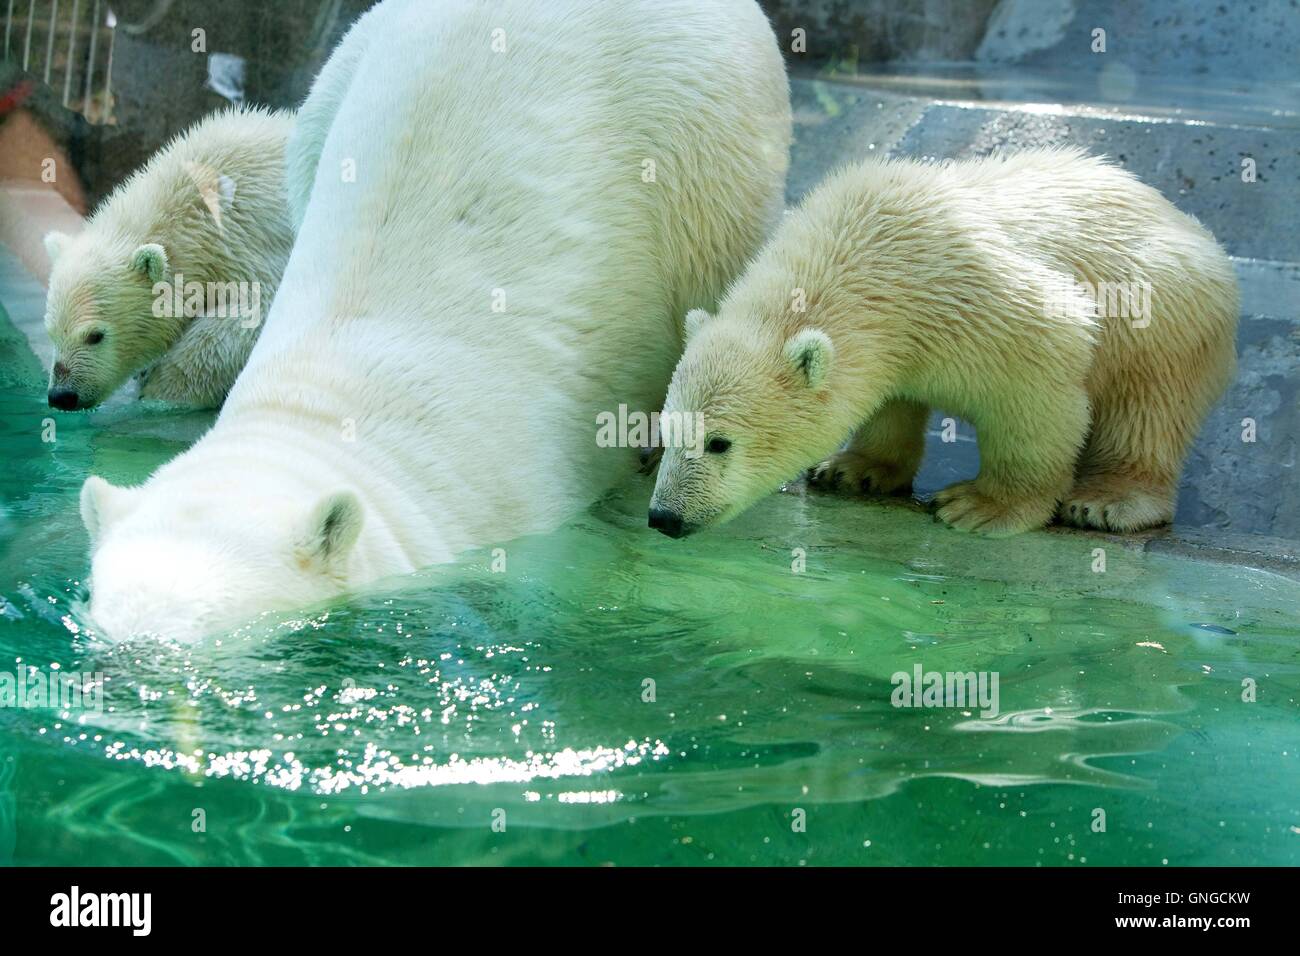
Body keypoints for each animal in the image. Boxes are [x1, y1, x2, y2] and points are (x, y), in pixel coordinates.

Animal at [42, 105, 295, 410]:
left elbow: (249, 312)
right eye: (51, 331)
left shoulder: (256, 242)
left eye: (95, 336)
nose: (62, 396)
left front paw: (162, 393)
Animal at [77, 0, 792, 641]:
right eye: (103, 604)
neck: (324, 411)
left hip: (707, 139)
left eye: (207, 618)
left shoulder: (527, 506)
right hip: (342, 76)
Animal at [647, 148, 1239, 539]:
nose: (664, 518)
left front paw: (982, 505)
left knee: (1147, 405)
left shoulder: (976, 295)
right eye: (666, 428)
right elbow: (889, 399)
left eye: (719, 442)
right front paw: (852, 469)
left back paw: (1106, 501)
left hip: (1163, 305)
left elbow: (1041, 376)